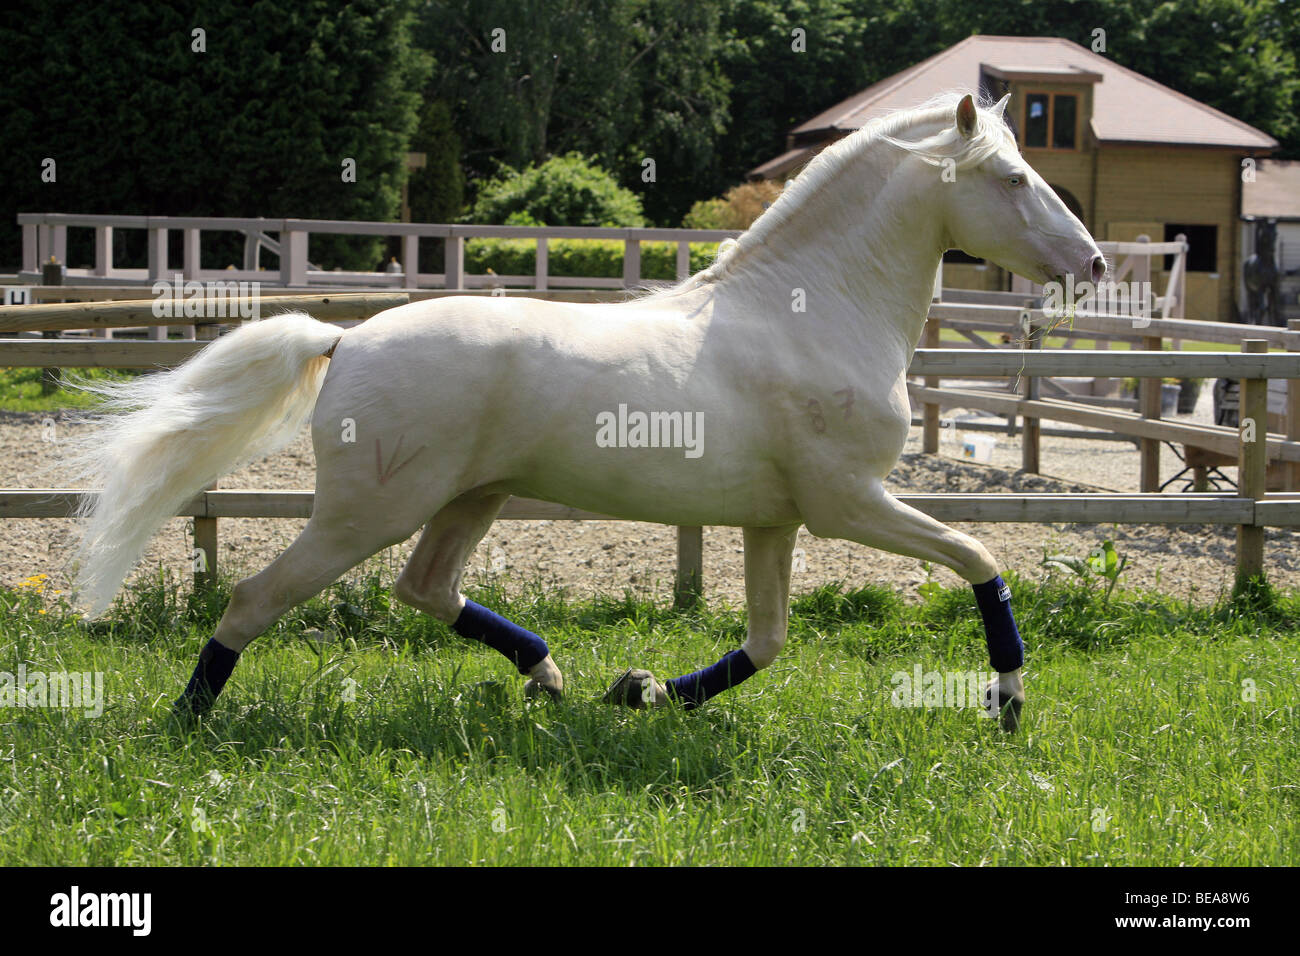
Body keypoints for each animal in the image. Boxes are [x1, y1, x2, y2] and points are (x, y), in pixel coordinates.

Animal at [63, 92, 1104, 731]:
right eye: (1014, 178)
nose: (1092, 264)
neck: (808, 310)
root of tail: (345, 339)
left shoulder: (776, 520)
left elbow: (766, 642)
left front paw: (638, 690)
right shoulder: (849, 504)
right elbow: (979, 556)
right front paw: (1008, 700)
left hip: (469, 499)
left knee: (426, 590)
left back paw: (554, 678)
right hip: (367, 512)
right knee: (254, 599)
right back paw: (187, 725)